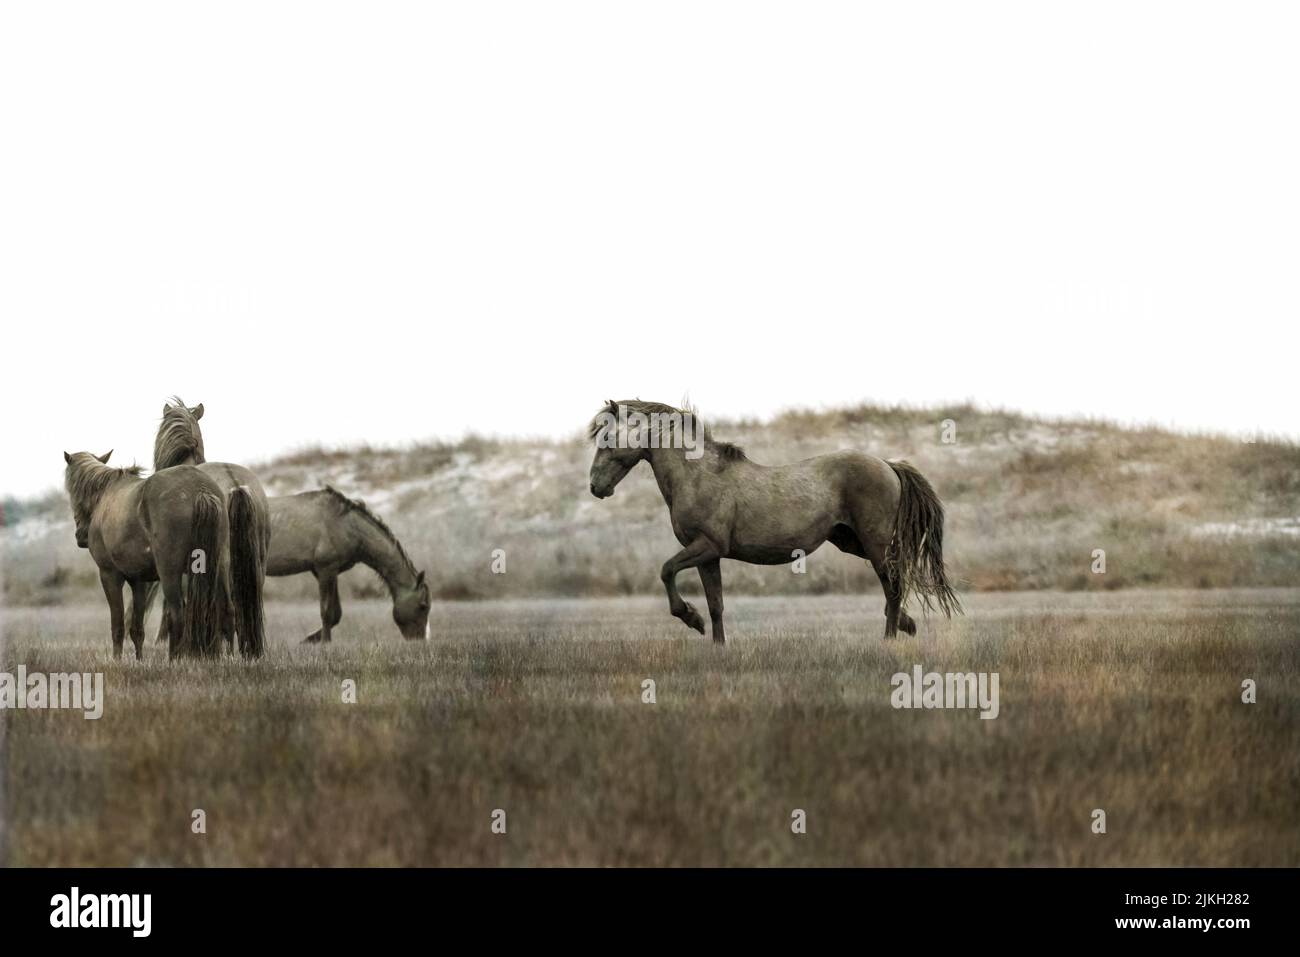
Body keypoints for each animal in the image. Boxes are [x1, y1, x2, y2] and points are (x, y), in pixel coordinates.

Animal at [62, 447, 231, 657]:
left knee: (177, 614)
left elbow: (117, 626)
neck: (105, 495)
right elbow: (137, 629)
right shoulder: (139, 581)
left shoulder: (109, 575)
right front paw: (140, 660)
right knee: (227, 610)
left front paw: (117, 660)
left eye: (71, 488)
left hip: (169, 573)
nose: (81, 536)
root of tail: (200, 489)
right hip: (220, 565)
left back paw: (175, 659)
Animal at [153, 397, 270, 657]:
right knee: (245, 610)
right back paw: (248, 652)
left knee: (227, 610)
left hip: (220, 564)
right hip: (258, 563)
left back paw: (223, 654)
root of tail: (236, 486)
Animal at [266, 486, 434, 642]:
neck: (346, 526)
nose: (420, 641)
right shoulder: (325, 569)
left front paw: (311, 639)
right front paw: (324, 643)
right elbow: (326, 612)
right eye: (423, 606)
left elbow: (336, 614)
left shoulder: (332, 571)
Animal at [585, 395, 961, 642]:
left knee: (894, 585)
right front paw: (717, 645)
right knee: (893, 584)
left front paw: (691, 619)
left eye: (608, 436)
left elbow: (666, 571)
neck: (698, 476)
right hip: (852, 541)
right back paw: (905, 625)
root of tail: (888, 464)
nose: (595, 486)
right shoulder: (708, 556)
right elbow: (716, 604)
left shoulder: (706, 546)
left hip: (875, 541)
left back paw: (890, 638)